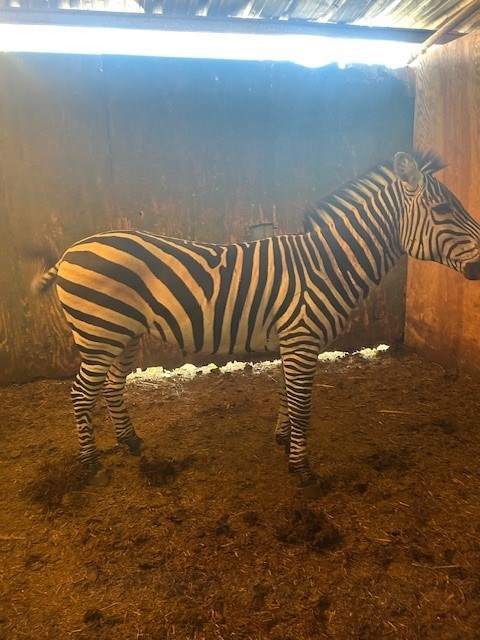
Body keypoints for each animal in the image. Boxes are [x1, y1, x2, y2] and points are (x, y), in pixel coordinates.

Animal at [32, 150, 480, 486]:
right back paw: (90, 463)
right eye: (443, 208)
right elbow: (302, 404)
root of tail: (70, 251)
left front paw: (283, 440)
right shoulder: (302, 339)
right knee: (81, 393)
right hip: (99, 334)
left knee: (111, 386)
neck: (327, 265)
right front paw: (301, 469)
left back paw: (130, 442)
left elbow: (286, 395)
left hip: (123, 335)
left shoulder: (293, 340)